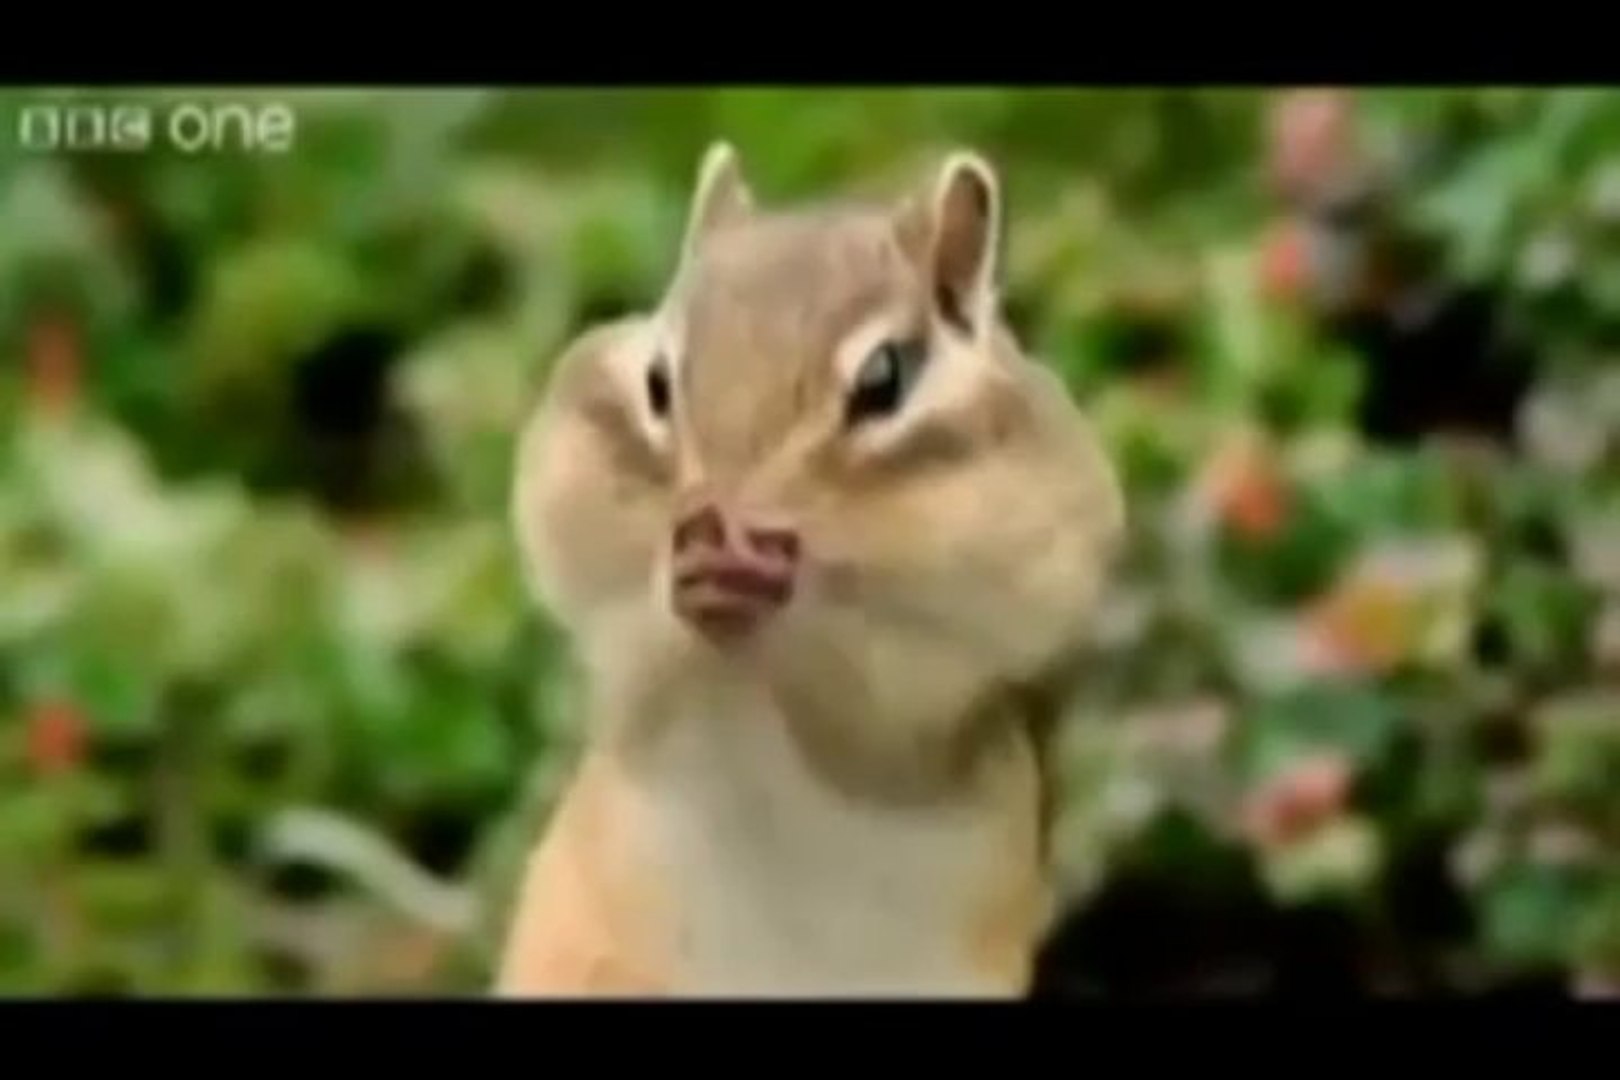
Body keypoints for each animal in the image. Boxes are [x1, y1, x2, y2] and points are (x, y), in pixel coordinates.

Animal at [493, 142, 1126, 997]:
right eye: (657, 380)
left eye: (883, 380)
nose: (724, 510)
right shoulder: (596, 586)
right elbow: (637, 657)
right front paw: (686, 575)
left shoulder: (961, 653)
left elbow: (874, 708)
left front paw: (779, 585)